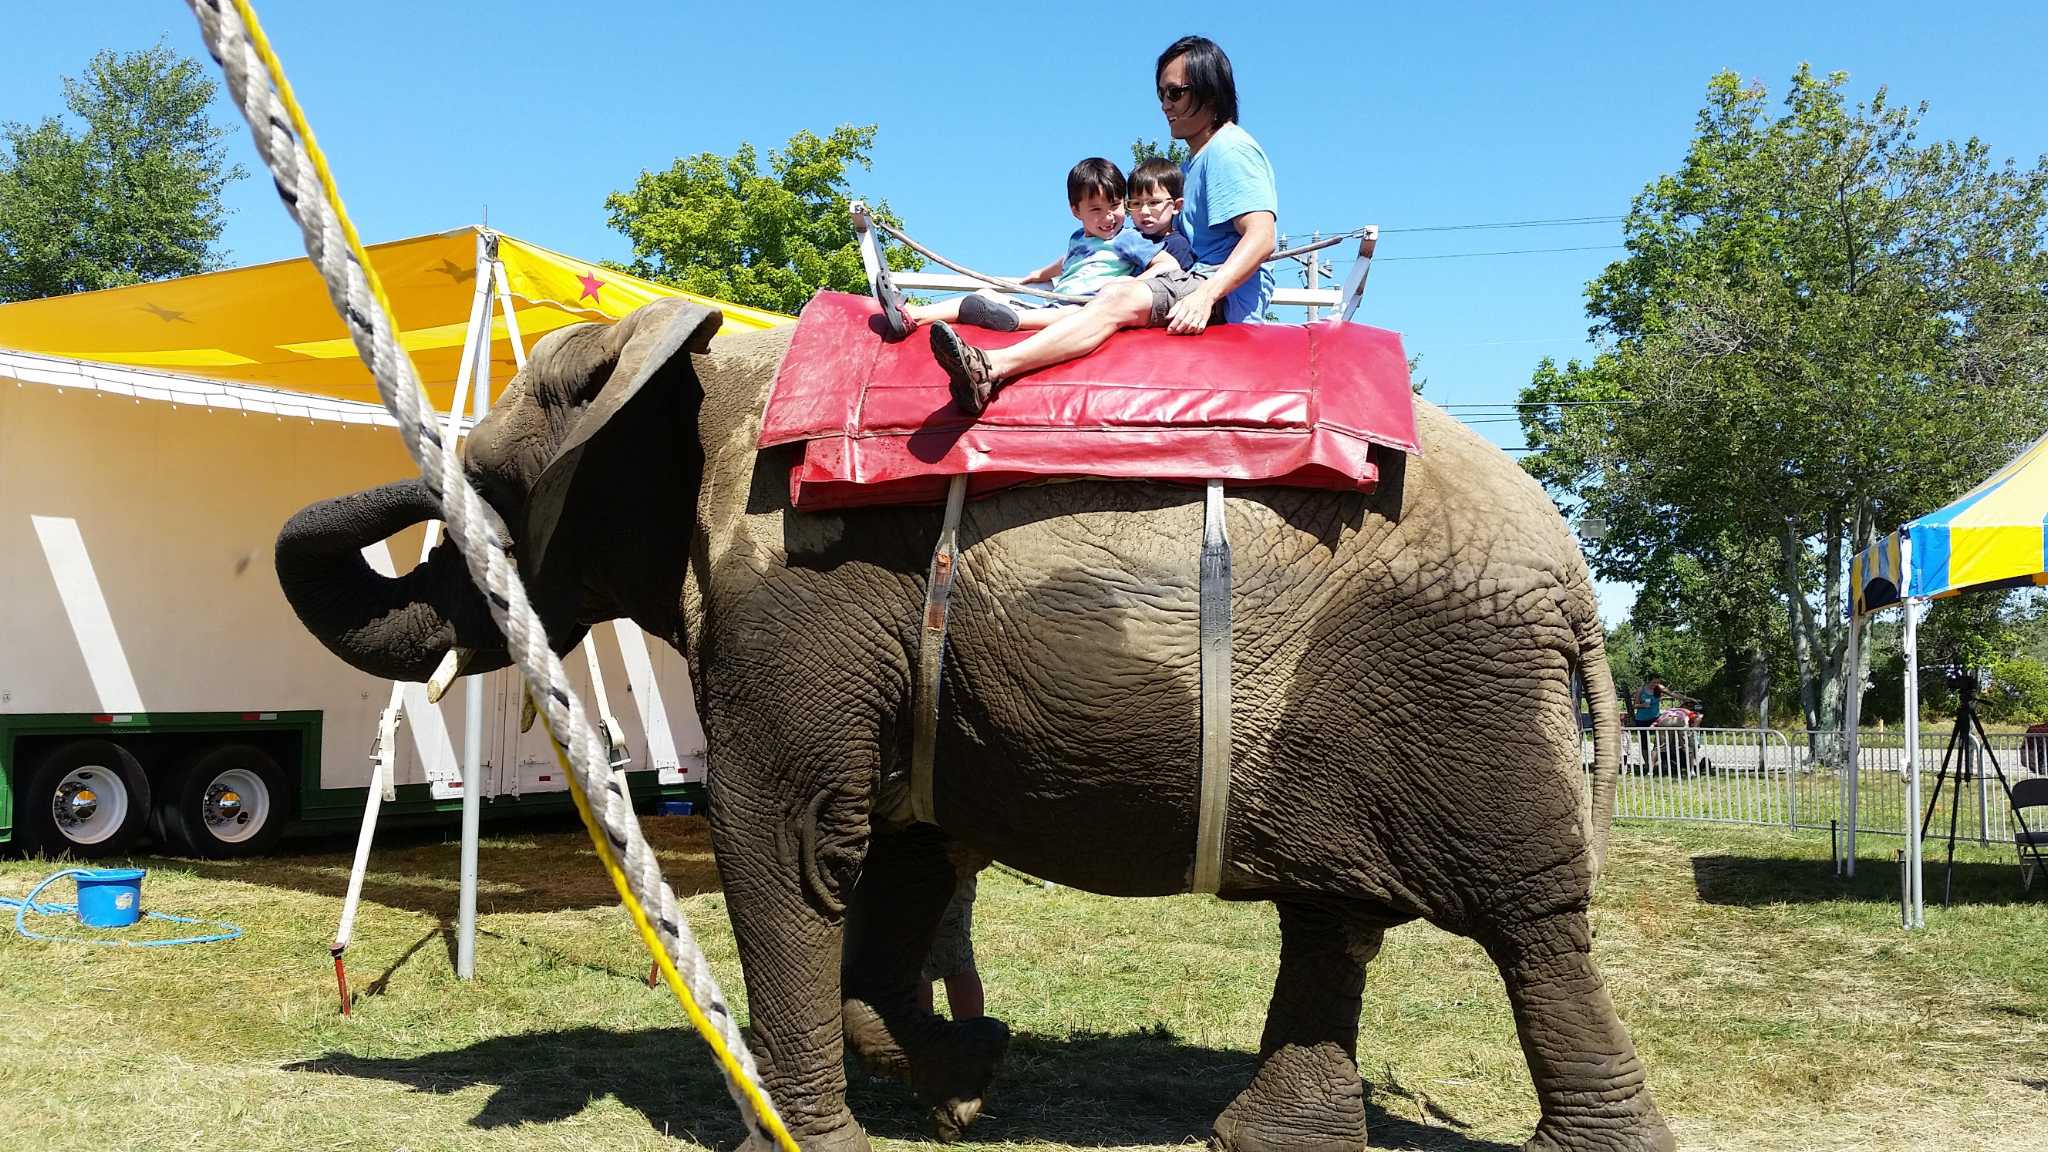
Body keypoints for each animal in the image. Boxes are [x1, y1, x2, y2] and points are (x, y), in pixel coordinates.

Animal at [276, 297, 1674, 1152]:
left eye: (492, 496)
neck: (709, 370)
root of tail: (1568, 572)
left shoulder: (800, 584)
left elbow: (790, 840)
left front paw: (825, 1130)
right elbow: (894, 853)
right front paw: (965, 1075)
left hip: (1449, 684)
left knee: (1527, 929)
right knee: (1337, 915)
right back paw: (1258, 1138)